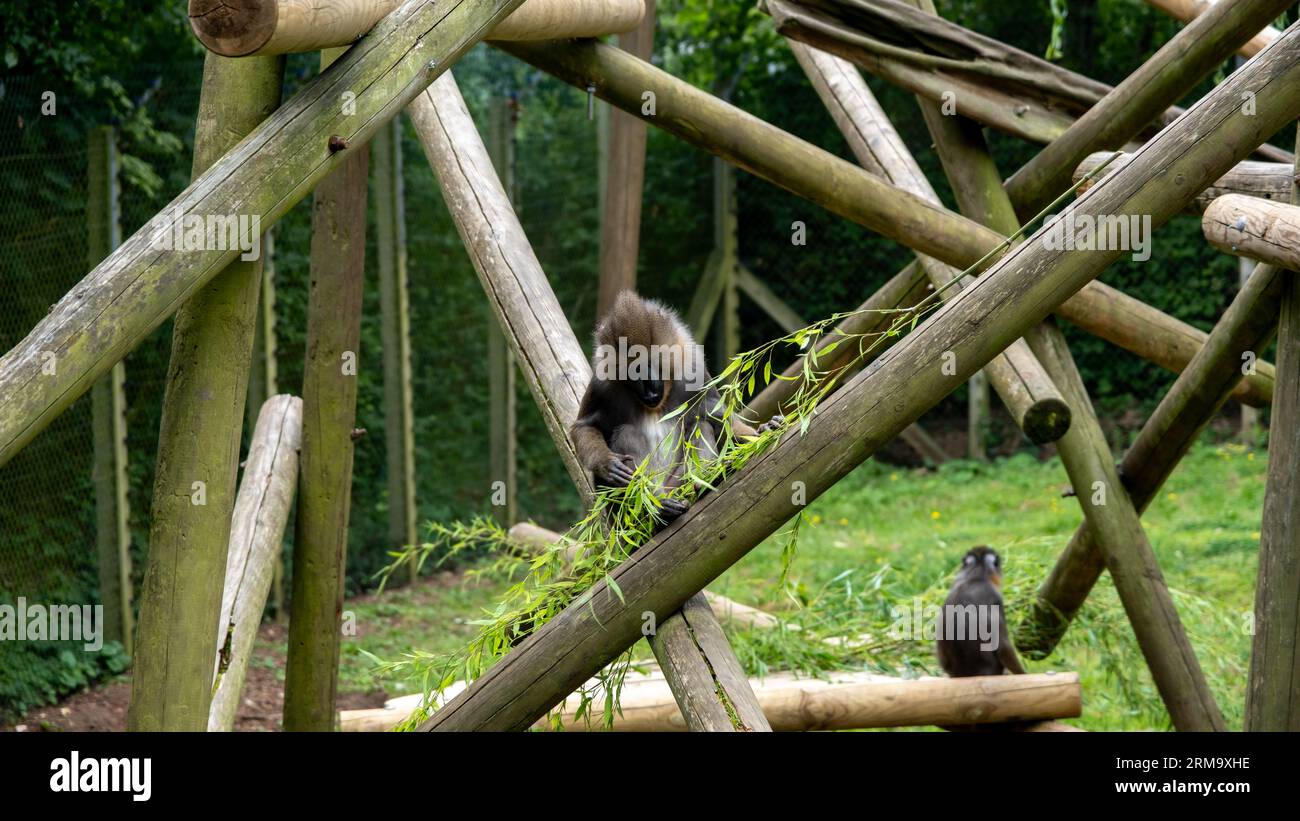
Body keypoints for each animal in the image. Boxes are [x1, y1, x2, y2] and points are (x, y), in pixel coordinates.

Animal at [570, 291, 782, 527]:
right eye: (634, 371)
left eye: (650, 363)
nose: (649, 390)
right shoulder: (601, 387)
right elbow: (585, 426)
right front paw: (608, 464)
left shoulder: (695, 374)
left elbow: (718, 417)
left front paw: (766, 428)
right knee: (626, 433)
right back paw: (655, 509)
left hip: (677, 483)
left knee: (702, 427)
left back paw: (704, 483)